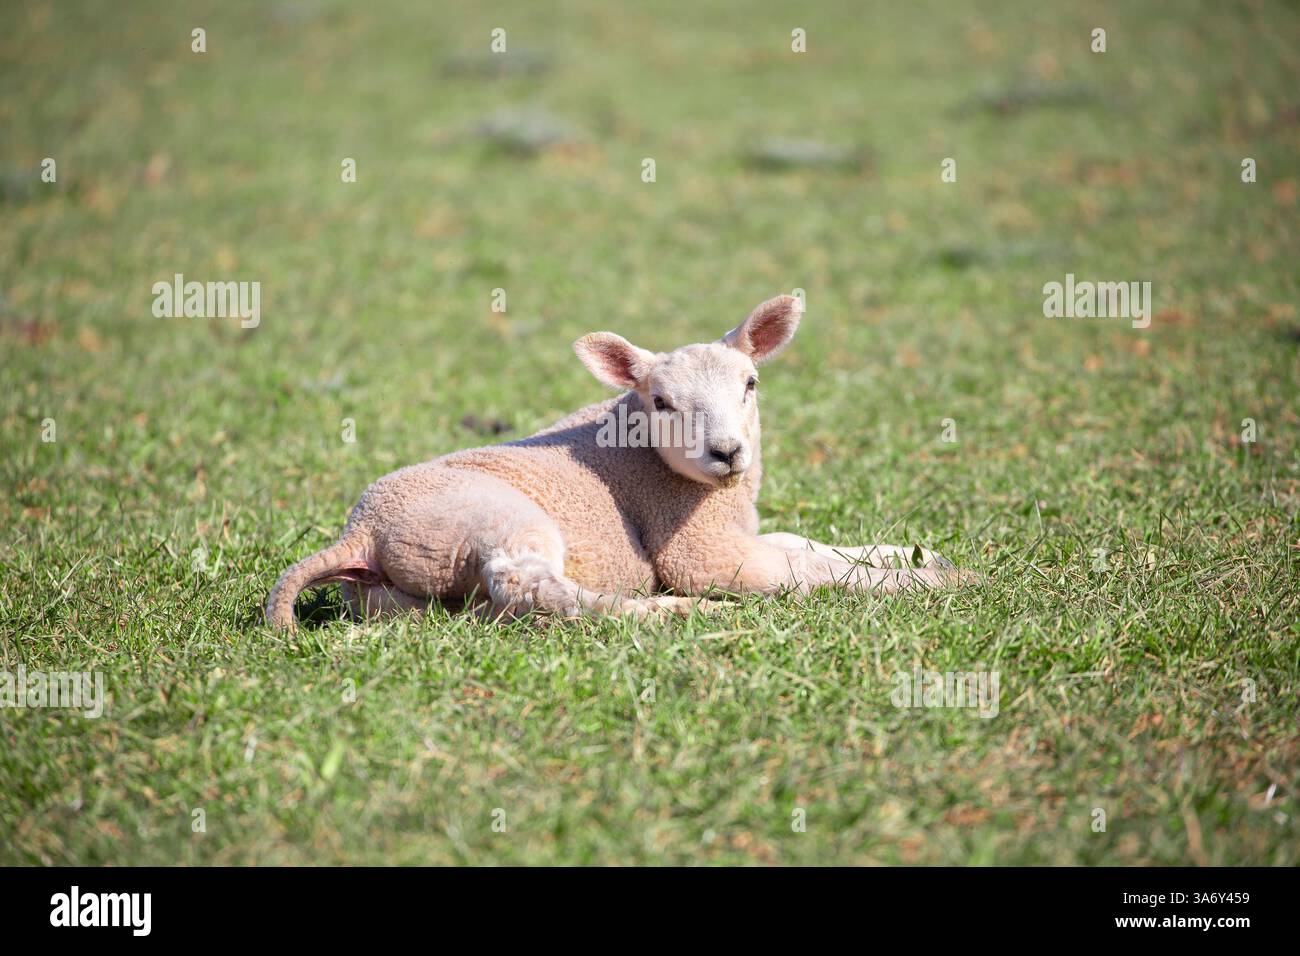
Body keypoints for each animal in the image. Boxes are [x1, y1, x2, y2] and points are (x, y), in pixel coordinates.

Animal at [265, 294, 961, 629]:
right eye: (661, 400)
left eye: (752, 383)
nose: (727, 452)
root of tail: (363, 531)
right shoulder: (699, 550)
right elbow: (803, 570)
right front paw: (931, 582)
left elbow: (803, 545)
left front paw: (914, 556)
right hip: (486, 518)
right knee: (531, 589)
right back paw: (672, 614)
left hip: (398, 595)